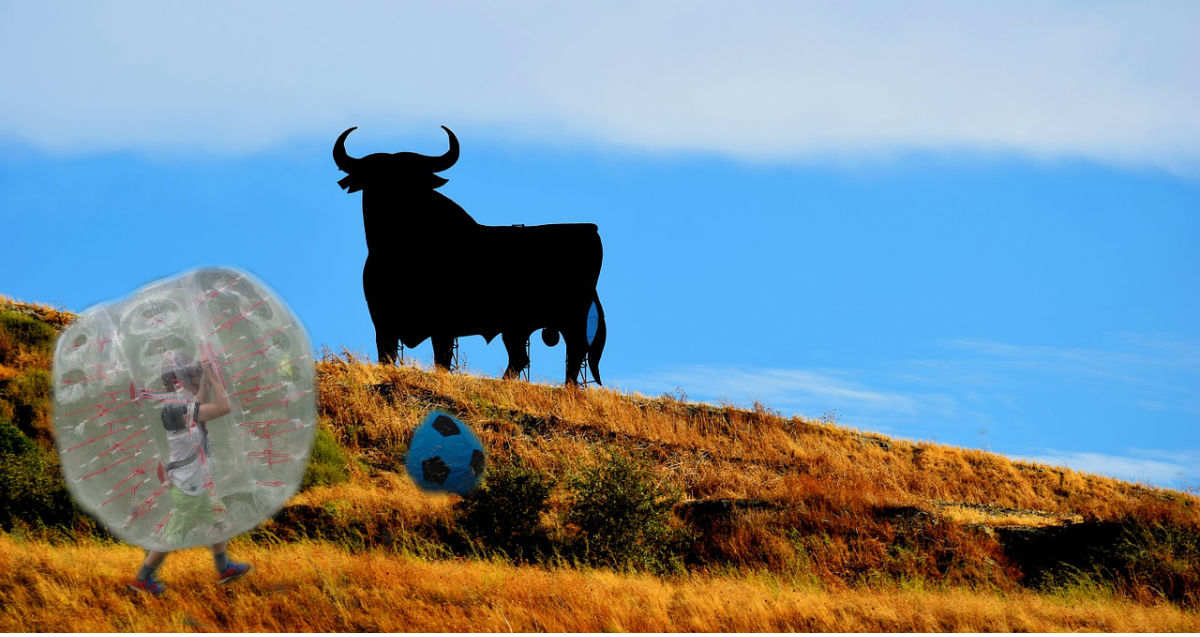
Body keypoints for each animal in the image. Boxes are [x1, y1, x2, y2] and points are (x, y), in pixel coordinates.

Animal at [333, 125, 606, 385]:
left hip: (572, 317)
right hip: (518, 327)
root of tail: (591, 229)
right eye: (375, 177)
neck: (402, 250)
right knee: (521, 357)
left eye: (414, 178)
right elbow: (387, 356)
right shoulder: (383, 321)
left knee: (574, 352)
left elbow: (442, 359)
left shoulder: (443, 324)